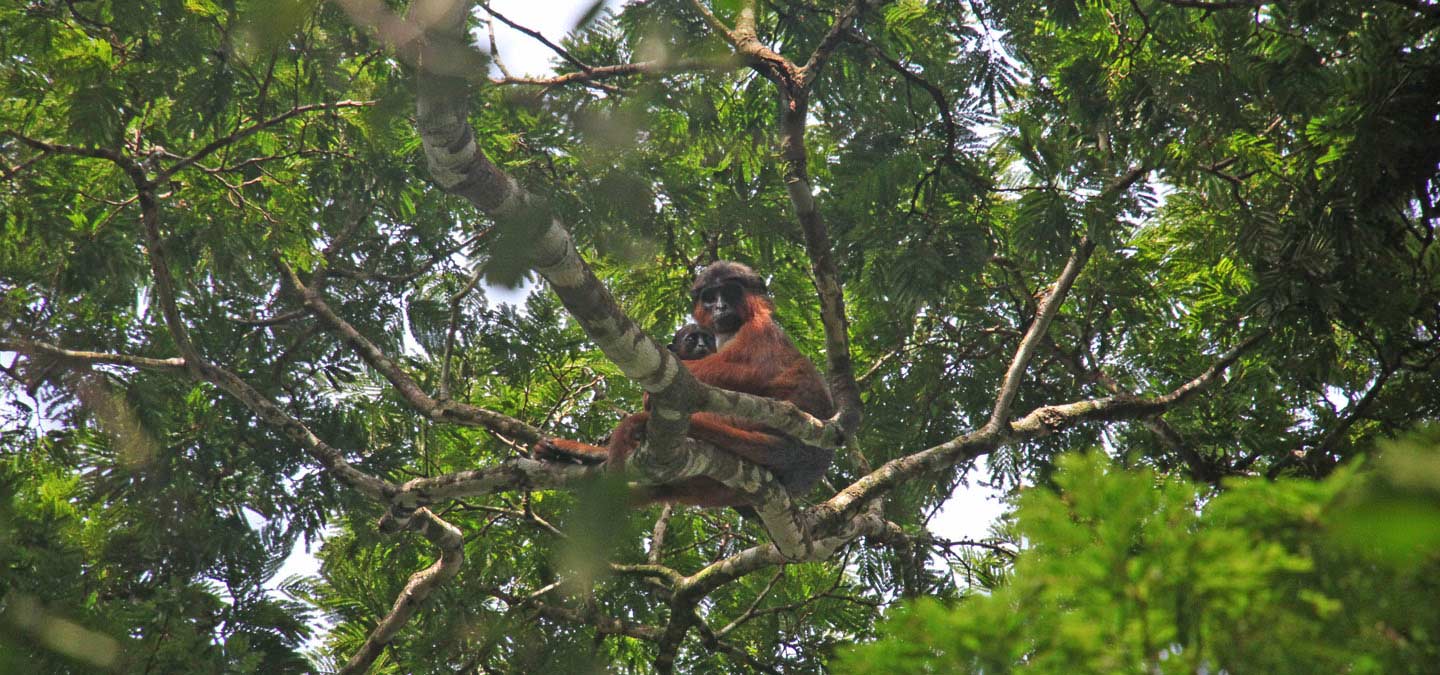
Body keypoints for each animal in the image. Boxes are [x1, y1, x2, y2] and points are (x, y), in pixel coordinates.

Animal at [534, 261, 835, 507]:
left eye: (729, 293)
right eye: (710, 298)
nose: (719, 307)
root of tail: (802, 456)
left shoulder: (760, 330)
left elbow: (760, 370)